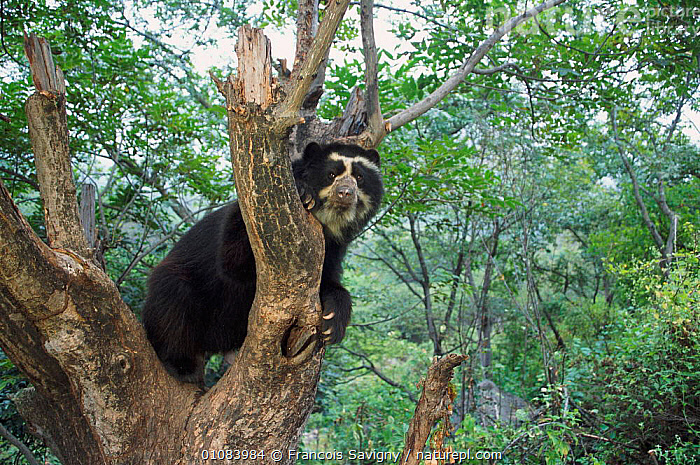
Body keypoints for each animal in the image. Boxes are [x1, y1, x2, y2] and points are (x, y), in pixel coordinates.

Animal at [141, 142, 383, 383]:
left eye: (359, 177)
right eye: (331, 174)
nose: (345, 193)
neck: (326, 224)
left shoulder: (335, 246)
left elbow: (325, 279)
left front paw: (334, 320)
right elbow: (234, 261)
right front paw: (304, 193)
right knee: (173, 298)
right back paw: (181, 366)